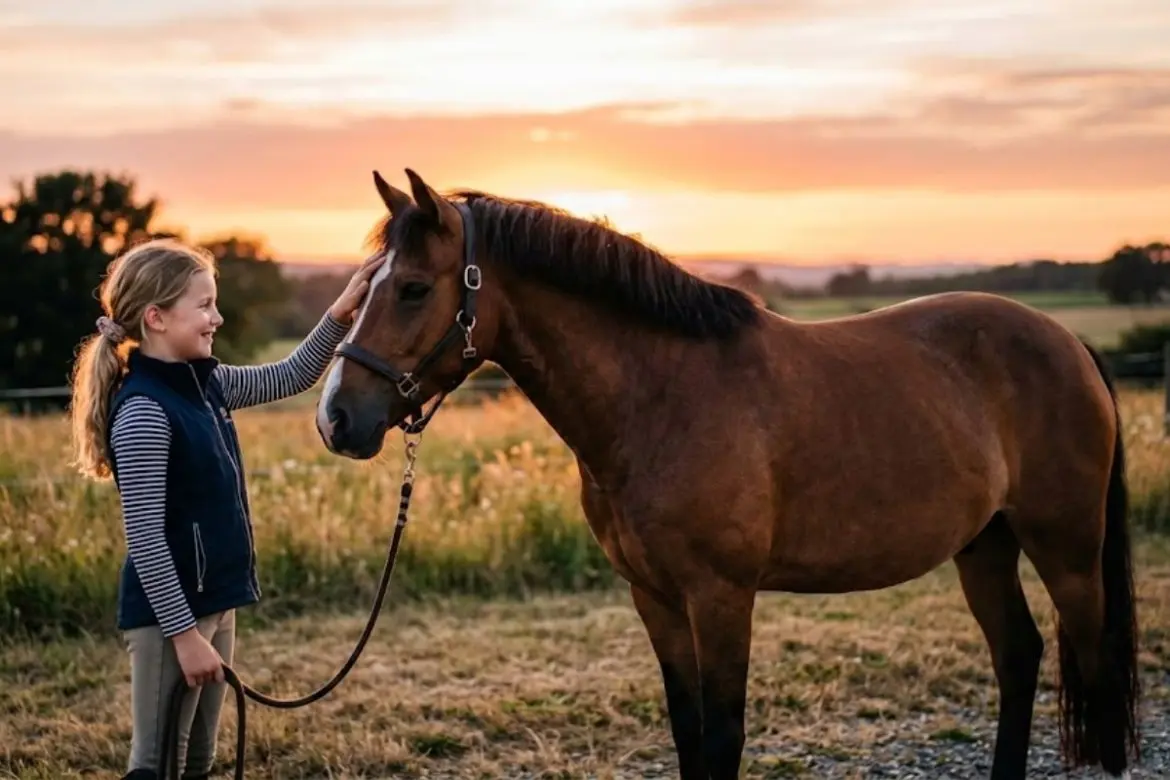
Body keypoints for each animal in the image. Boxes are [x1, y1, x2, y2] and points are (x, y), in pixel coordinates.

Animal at [314, 168, 1141, 780]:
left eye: (413, 288)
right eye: (364, 284)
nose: (337, 419)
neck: (661, 396)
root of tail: (1067, 340)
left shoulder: (720, 596)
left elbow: (723, 735)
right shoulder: (654, 597)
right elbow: (688, 734)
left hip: (1069, 551)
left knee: (1095, 669)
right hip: (985, 545)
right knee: (1019, 656)